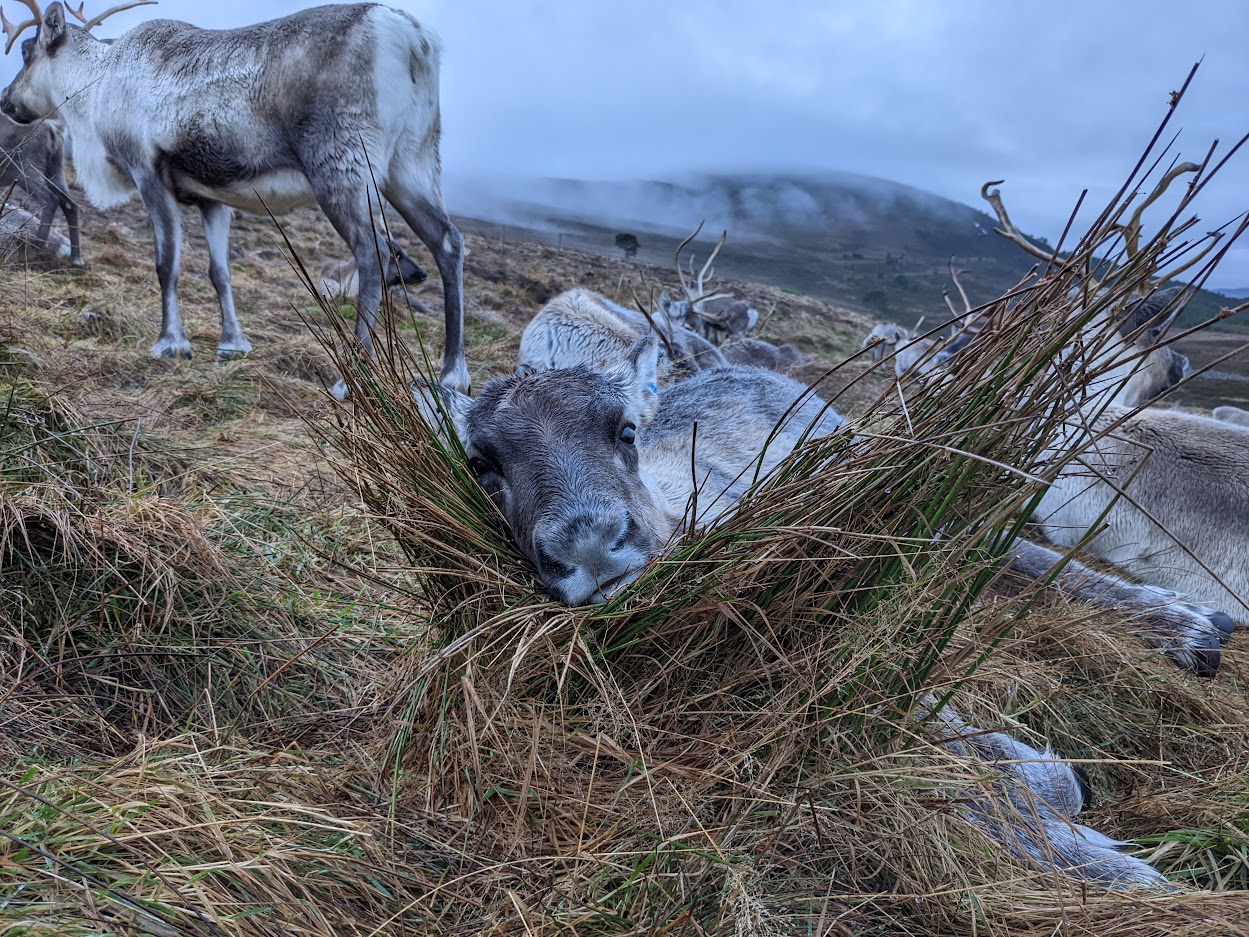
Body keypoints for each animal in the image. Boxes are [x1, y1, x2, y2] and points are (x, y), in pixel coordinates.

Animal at [0, 113, 80, 264]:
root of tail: (53, 133)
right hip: (55, 171)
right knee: (70, 204)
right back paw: (76, 257)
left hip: (26, 170)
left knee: (51, 199)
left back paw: (38, 245)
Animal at [412, 339, 1221, 887]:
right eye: (482, 463)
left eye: (625, 431)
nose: (589, 543)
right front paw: (1062, 813)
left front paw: (1097, 855)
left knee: (998, 548)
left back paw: (1184, 625)